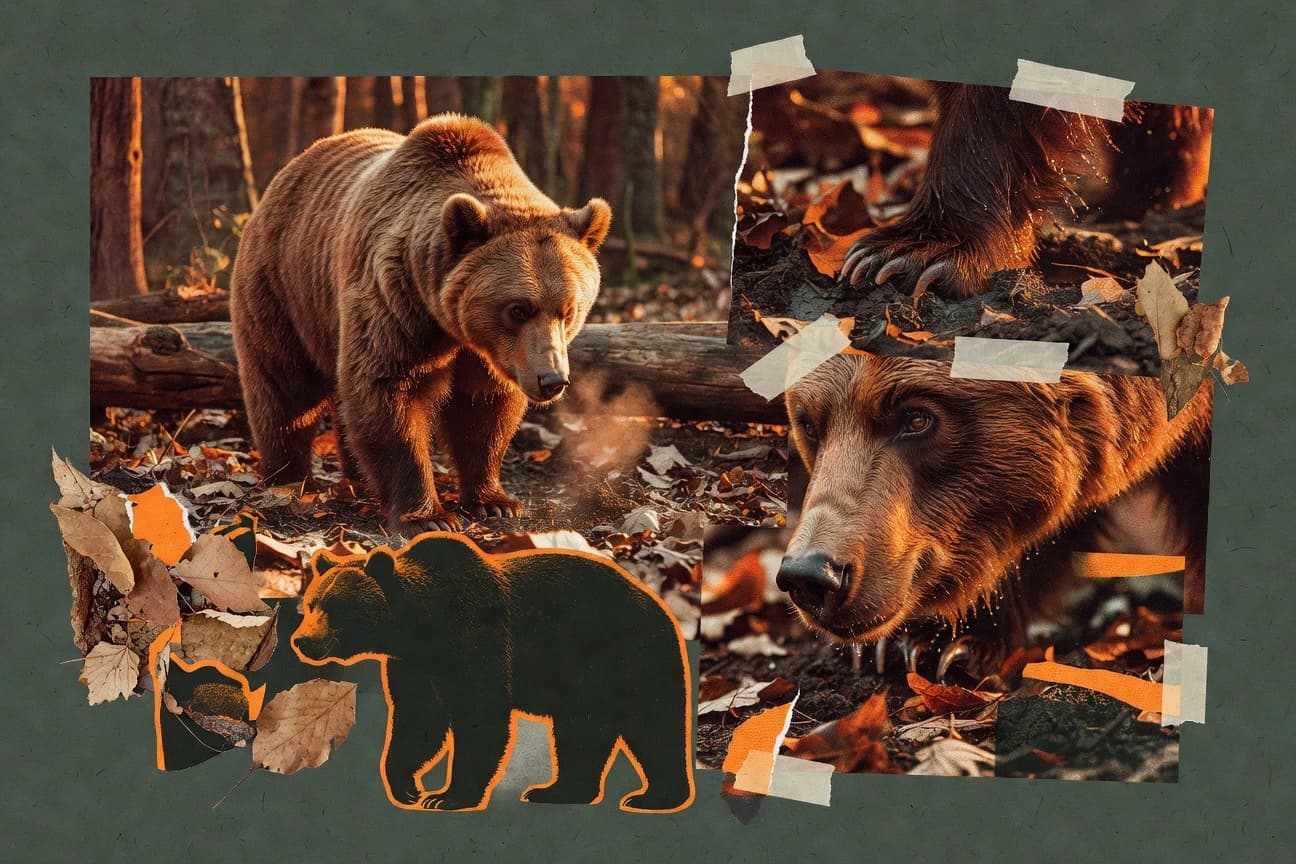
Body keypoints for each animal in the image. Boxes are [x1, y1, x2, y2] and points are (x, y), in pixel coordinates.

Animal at [229, 115, 612, 534]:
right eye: (518, 309)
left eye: (568, 310)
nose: (552, 379)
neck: (451, 324)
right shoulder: (396, 304)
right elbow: (388, 392)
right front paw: (428, 516)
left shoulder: (490, 355)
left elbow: (484, 410)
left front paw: (494, 502)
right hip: (284, 288)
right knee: (285, 385)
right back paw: (288, 478)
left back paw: (357, 479)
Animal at [289, 532, 695, 813]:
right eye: (310, 604)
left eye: (336, 607)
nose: (303, 640)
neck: (424, 626)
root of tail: (659, 606)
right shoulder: (416, 665)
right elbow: (418, 721)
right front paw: (407, 785)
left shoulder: (477, 640)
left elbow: (480, 717)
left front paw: (447, 796)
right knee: (583, 732)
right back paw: (558, 790)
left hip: (629, 655)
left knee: (654, 723)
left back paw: (654, 796)